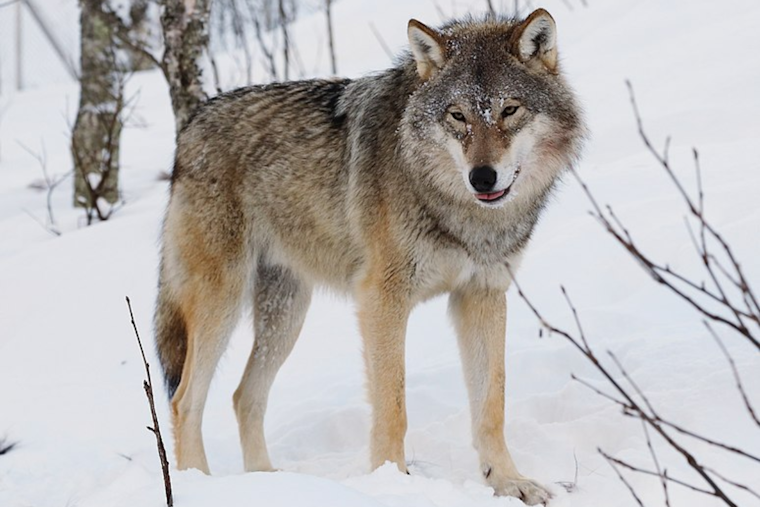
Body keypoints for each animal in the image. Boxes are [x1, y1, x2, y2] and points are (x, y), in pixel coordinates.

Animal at [155, 8, 584, 505]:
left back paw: (271, 483)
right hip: (221, 304)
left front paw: (508, 482)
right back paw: (198, 485)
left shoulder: (482, 295)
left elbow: (491, 404)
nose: (482, 177)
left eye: (509, 110)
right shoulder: (382, 299)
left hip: (286, 315)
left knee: (245, 396)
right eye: (457, 116)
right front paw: (393, 482)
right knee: (185, 400)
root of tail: (191, 124)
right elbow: (393, 406)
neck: (458, 211)